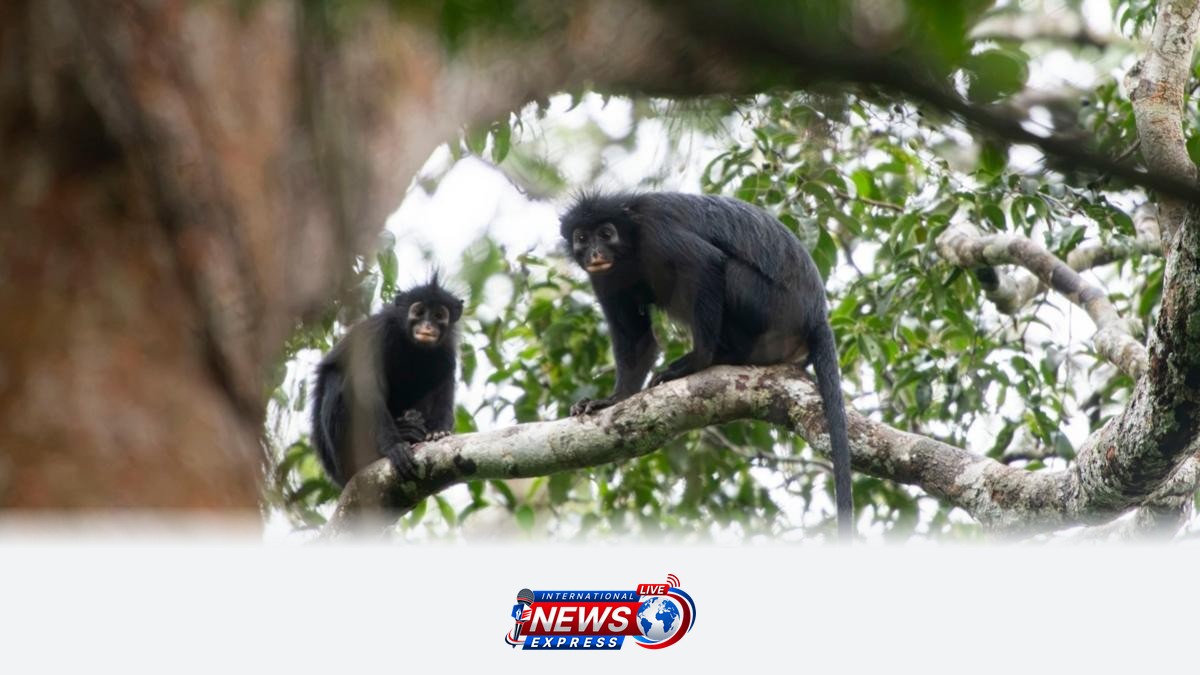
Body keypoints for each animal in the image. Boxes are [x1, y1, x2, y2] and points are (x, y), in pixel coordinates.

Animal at [310, 275, 463, 487]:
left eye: (438, 315)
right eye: (419, 312)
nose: (427, 326)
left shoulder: (447, 351)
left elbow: (444, 390)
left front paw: (438, 432)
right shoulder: (377, 333)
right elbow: (367, 390)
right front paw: (393, 447)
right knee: (337, 379)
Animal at [560, 192, 853, 537]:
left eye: (606, 234)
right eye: (582, 238)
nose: (595, 252)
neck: (630, 241)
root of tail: (816, 314)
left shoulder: (656, 231)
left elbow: (705, 263)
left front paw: (698, 361)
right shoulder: (605, 277)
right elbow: (636, 339)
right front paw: (612, 399)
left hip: (771, 306)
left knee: (728, 272)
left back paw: (722, 356)